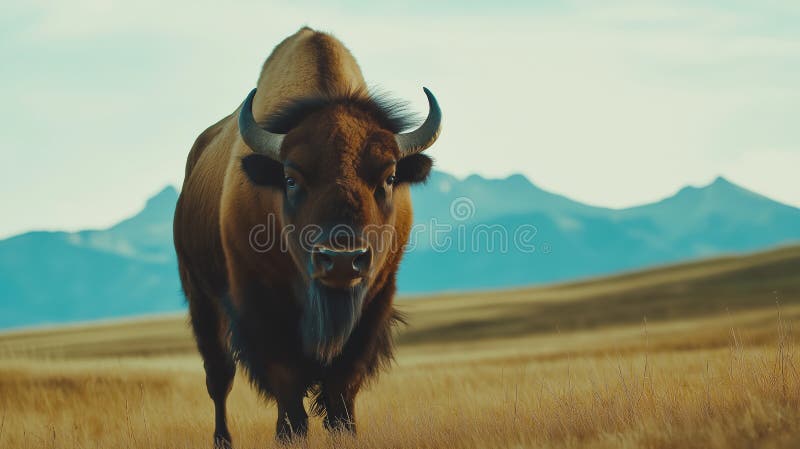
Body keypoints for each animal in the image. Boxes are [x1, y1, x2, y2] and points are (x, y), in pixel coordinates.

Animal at [173, 27, 442, 446]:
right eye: (290, 178)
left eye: (389, 177)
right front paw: (289, 434)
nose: (343, 260)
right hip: (200, 296)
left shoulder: (374, 300)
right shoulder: (260, 303)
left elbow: (342, 384)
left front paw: (345, 431)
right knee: (219, 376)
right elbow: (286, 381)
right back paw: (222, 439)